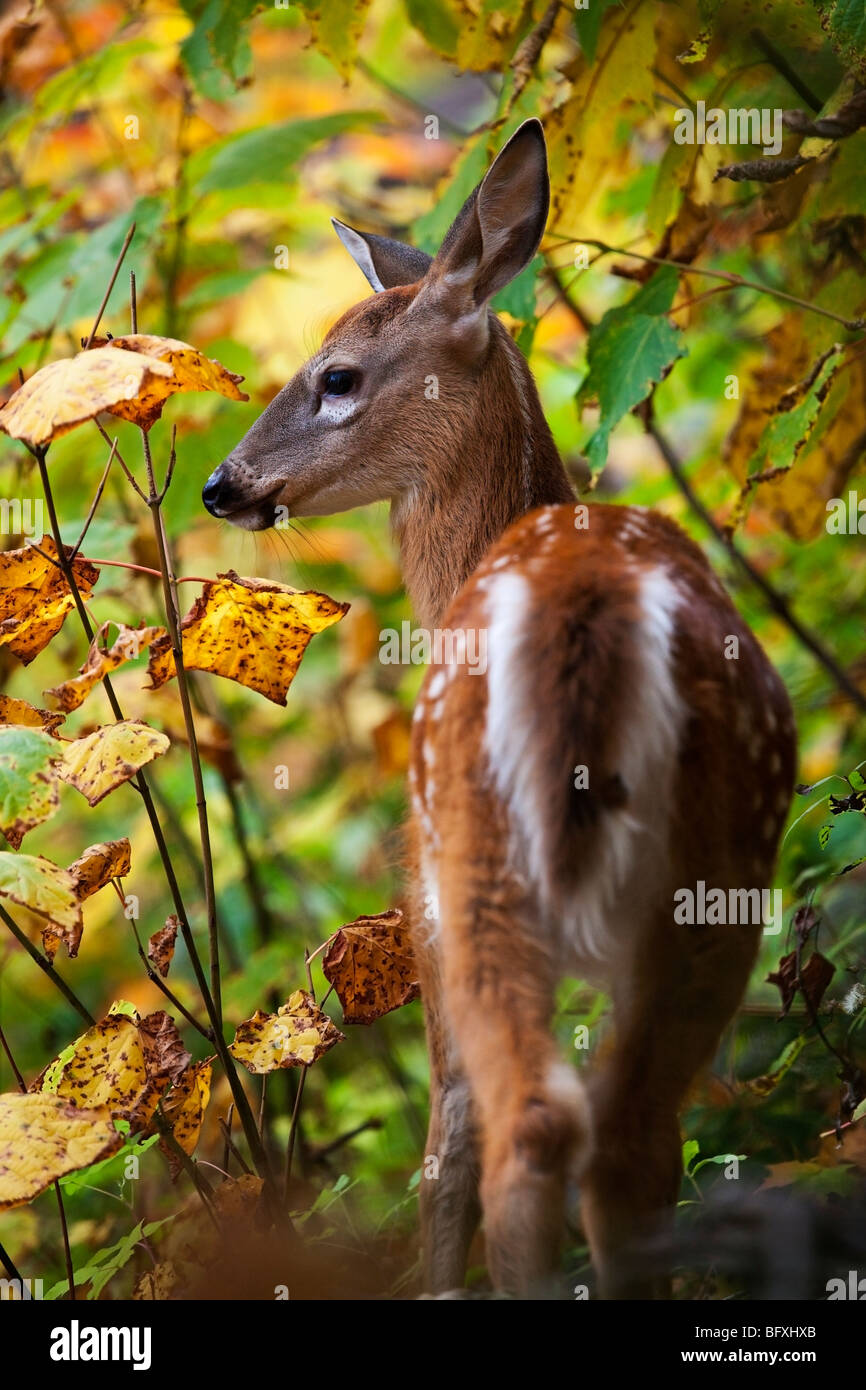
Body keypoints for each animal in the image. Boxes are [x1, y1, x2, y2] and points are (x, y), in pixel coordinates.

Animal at [202, 119, 797, 1299]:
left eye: (337, 375)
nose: (222, 484)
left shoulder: (417, 906)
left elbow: (442, 1146)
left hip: (474, 859)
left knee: (528, 1125)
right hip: (721, 874)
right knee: (633, 1140)